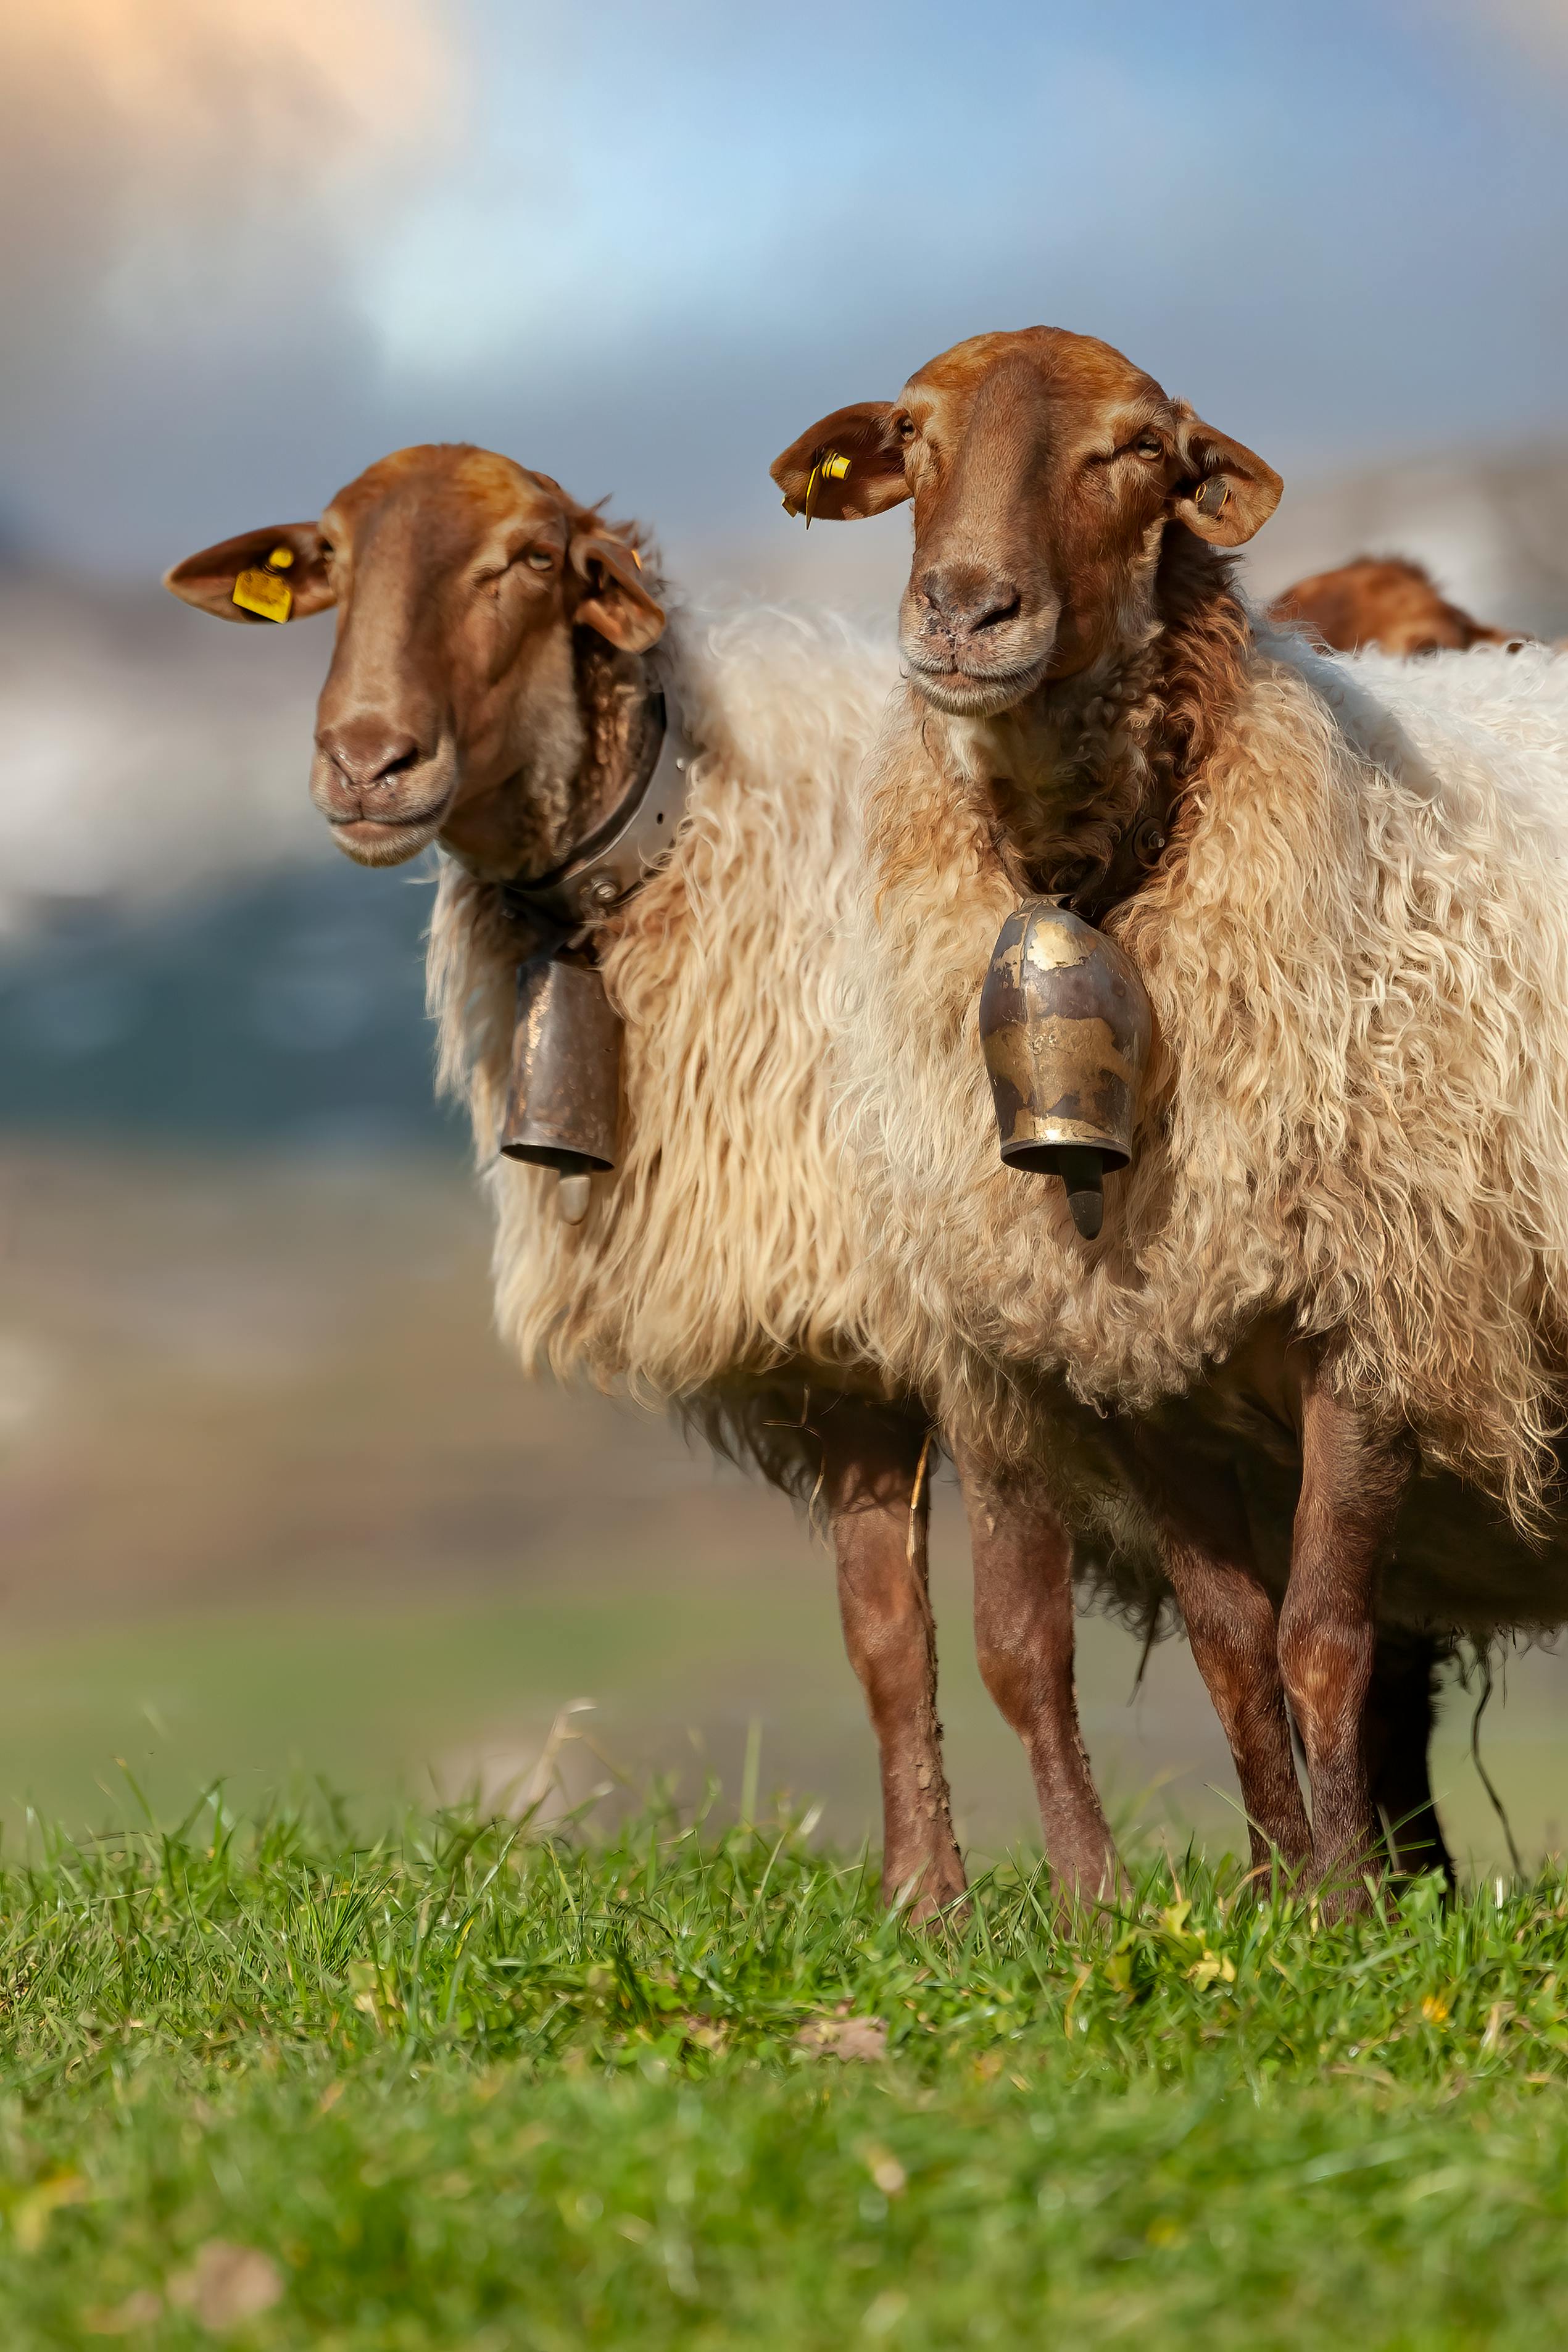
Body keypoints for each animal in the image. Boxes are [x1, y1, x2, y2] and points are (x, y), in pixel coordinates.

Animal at [162, 441, 1126, 1911]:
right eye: (326, 560)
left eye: (524, 562)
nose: (365, 761)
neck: (694, 836)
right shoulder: (841, 1342)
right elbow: (883, 1638)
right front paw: (923, 1906)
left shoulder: (986, 1326)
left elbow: (1022, 1643)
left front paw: (1098, 1907)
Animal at [774, 327, 1568, 1901]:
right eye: (910, 430)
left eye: (1140, 448)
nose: (965, 610)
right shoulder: (1151, 1362)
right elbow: (1232, 1645)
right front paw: (1278, 1891)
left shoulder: (1374, 1316)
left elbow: (1325, 1639)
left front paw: (1353, 1906)